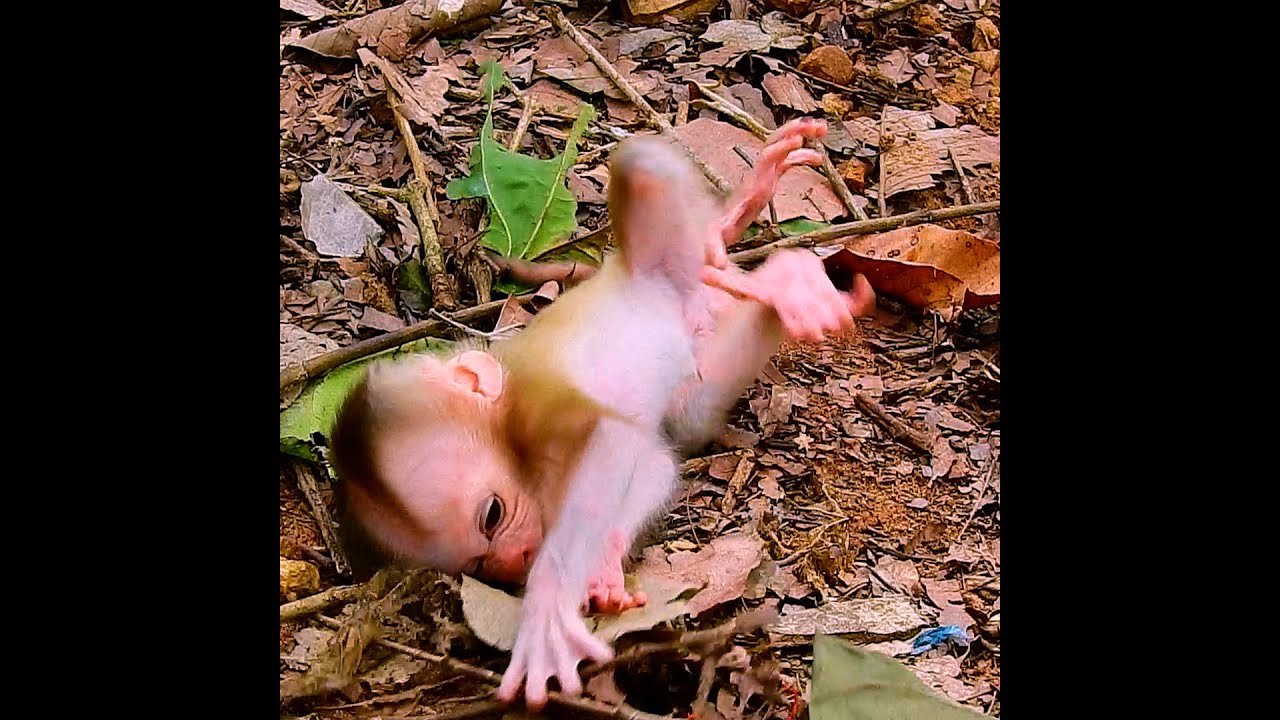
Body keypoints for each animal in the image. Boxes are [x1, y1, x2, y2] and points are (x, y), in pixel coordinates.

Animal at [329, 119, 875, 707]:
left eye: (492, 515)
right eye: (475, 565)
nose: (512, 563)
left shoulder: (539, 410)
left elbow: (610, 442)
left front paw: (546, 606)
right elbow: (651, 463)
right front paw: (604, 566)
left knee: (641, 168)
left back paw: (734, 236)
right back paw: (776, 277)